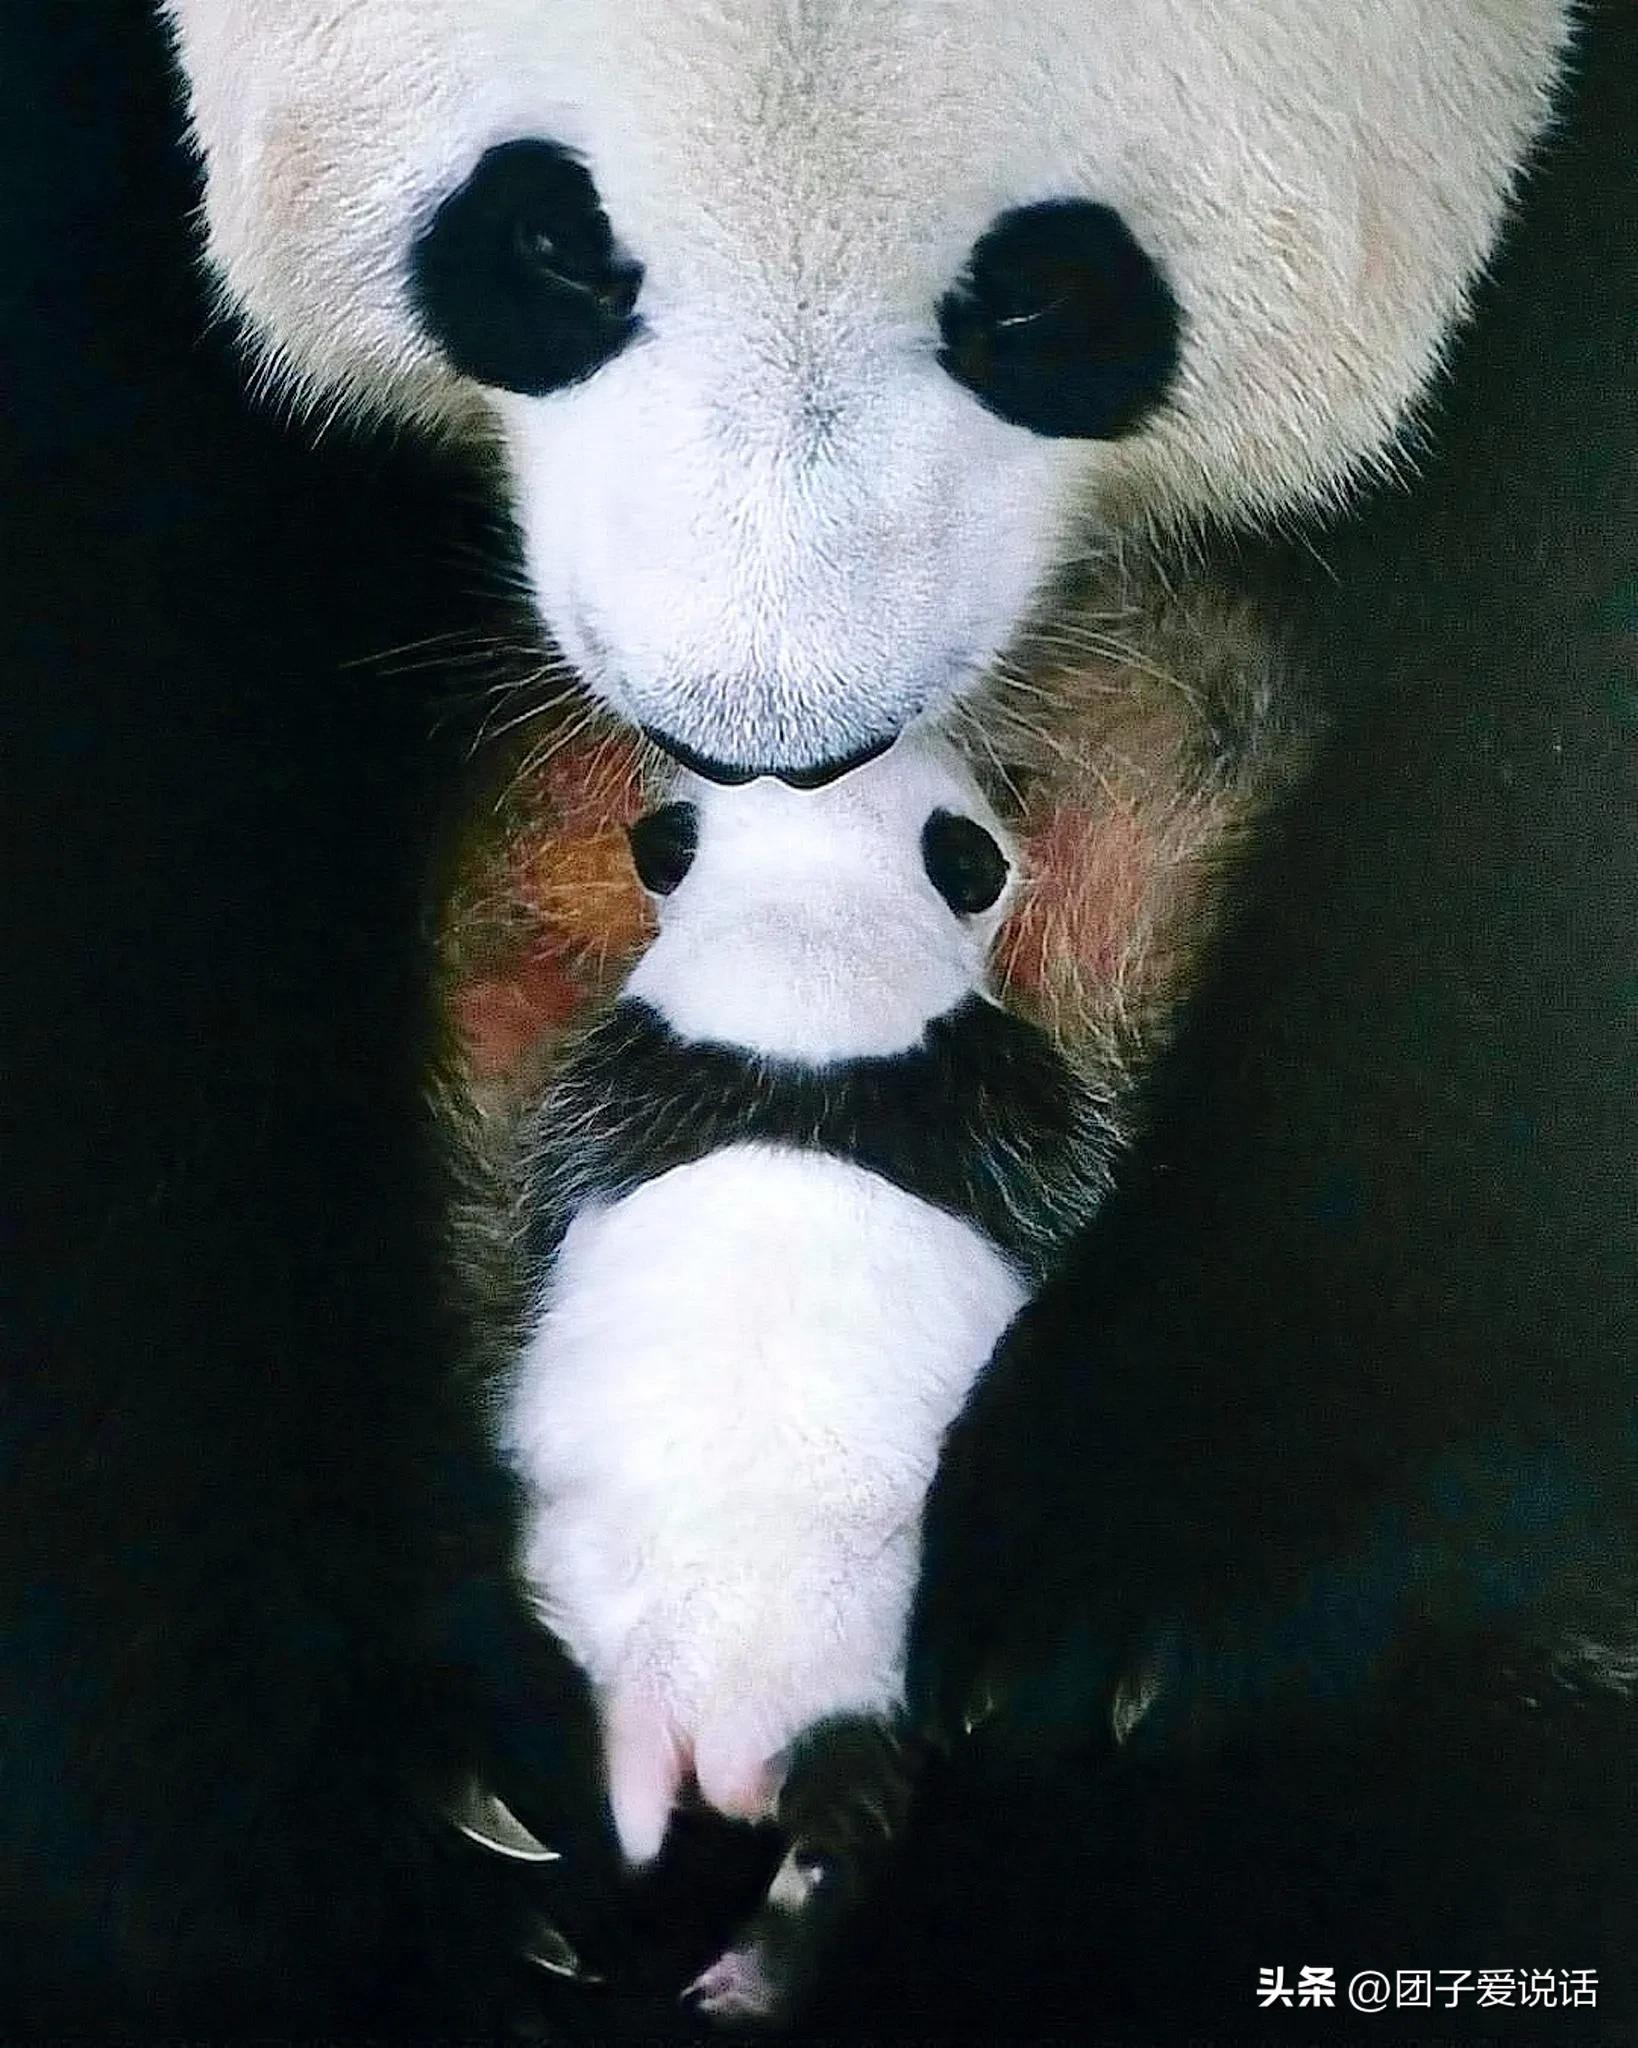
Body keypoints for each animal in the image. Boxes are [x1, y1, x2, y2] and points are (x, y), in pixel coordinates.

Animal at [502, 731, 1109, 2020]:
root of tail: (670, 1679)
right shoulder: (1012, 1095)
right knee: (853, 1809)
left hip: (565, 1619)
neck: (808, 930)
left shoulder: (605, 1083)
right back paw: (768, 1959)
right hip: (858, 1651)